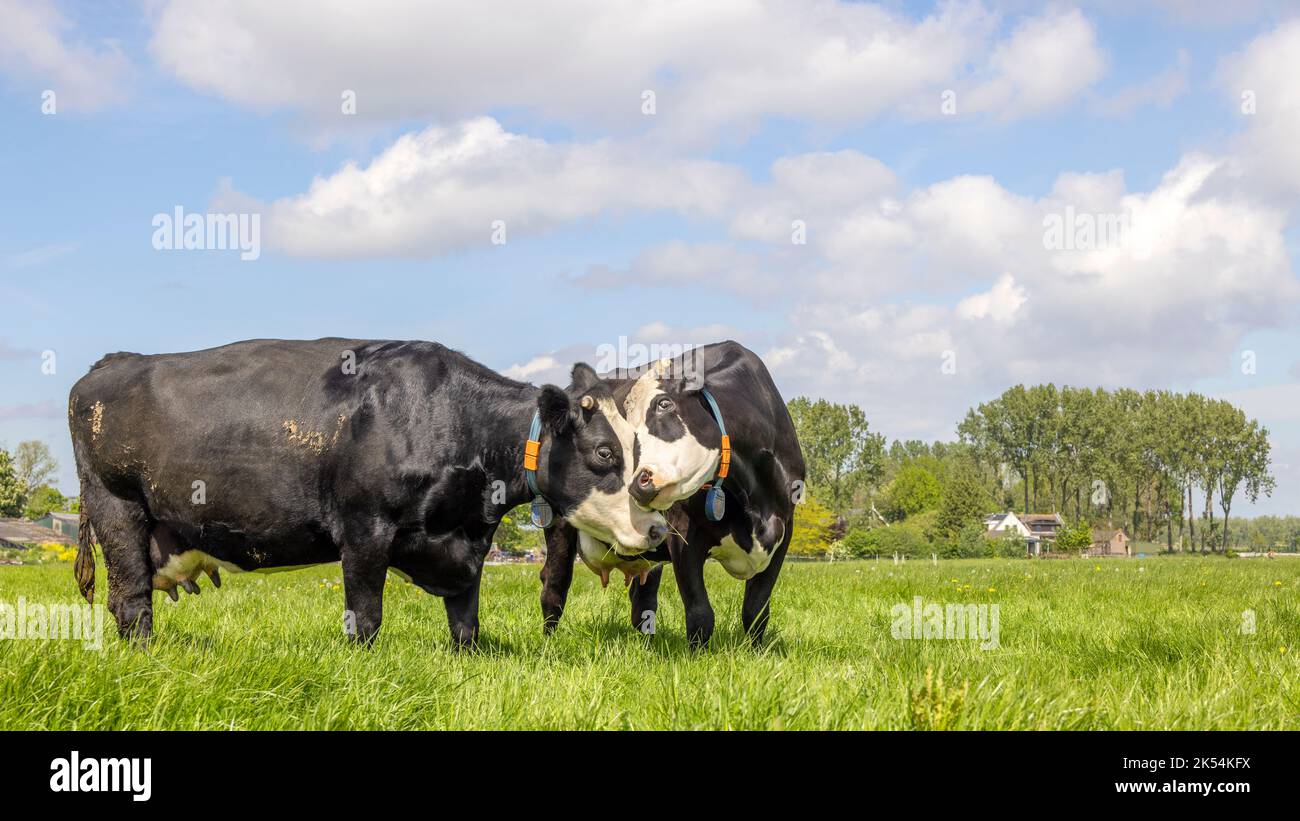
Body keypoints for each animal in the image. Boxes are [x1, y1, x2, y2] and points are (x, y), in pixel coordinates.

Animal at [69, 338, 667, 647]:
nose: (661, 527)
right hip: (117, 507)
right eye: (605, 454)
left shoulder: (467, 543)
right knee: (131, 600)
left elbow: (467, 621)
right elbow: (366, 615)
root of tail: (112, 362)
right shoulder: (363, 528)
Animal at [539, 341, 805, 649]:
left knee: (642, 603)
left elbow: (757, 609)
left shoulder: (784, 532)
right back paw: (548, 645)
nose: (636, 483)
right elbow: (700, 612)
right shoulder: (683, 533)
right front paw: (699, 655)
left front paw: (757, 652)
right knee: (554, 586)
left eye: (664, 403)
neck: (754, 502)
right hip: (559, 526)